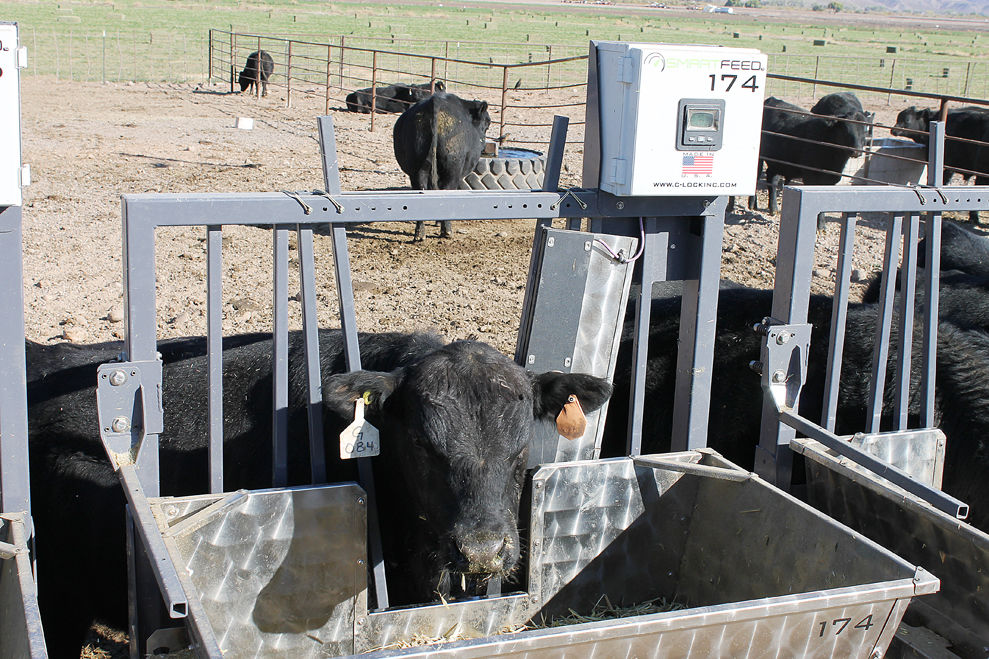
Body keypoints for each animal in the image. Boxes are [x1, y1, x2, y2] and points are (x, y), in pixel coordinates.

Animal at [393, 91, 491, 241]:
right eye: (487, 123)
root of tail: (434, 104)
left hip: (417, 170)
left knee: (421, 190)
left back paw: (420, 234)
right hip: (452, 169)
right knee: (446, 189)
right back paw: (447, 231)